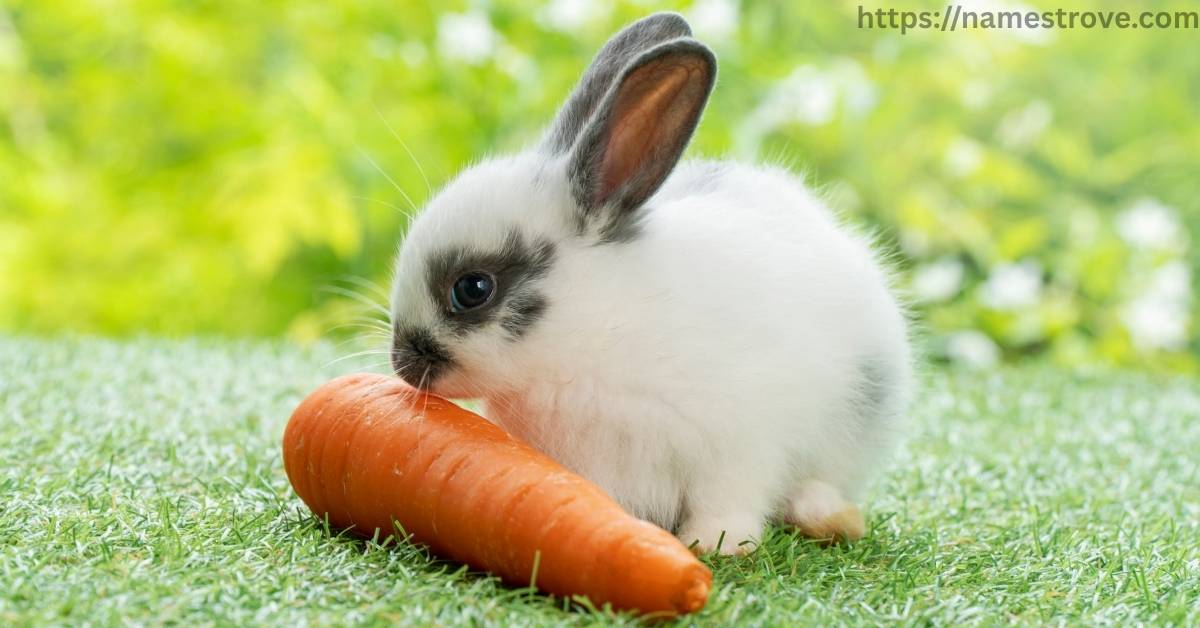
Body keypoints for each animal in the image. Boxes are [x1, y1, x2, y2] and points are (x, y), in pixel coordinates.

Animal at [387, 12, 912, 555]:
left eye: (473, 289)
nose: (402, 365)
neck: (592, 337)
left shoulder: (739, 444)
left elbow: (729, 499)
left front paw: (714, 545)